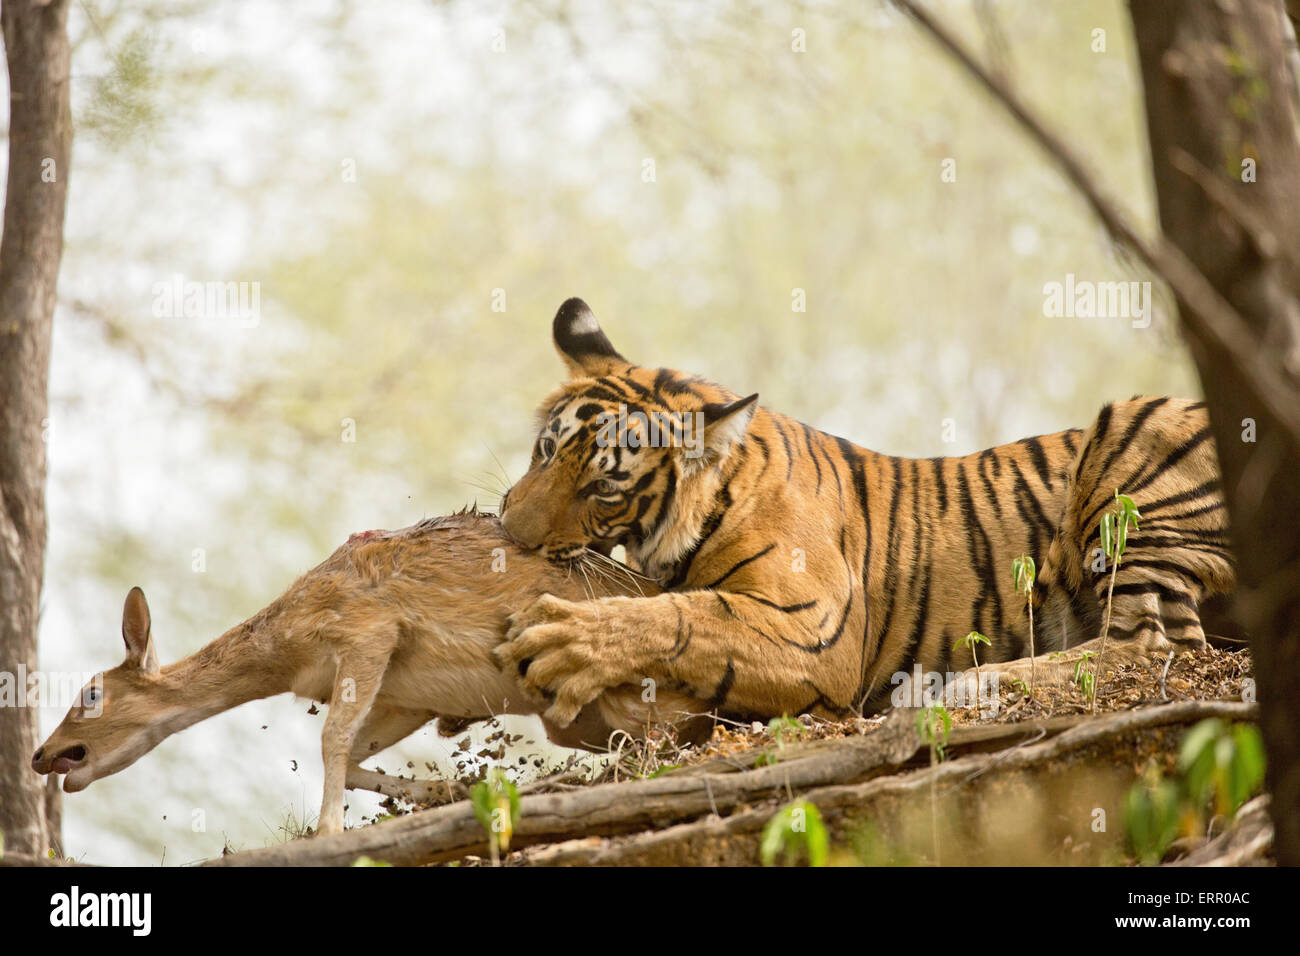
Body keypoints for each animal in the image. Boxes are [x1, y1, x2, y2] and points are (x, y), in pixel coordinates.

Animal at [494, 298, 1236, 728]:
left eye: (603, 489)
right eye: (545, 449)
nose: (509, 536)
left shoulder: (813, 634)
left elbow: (687, 617)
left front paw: (566, 641)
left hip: (1135, 443)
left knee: (1154, 644)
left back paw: (958, 688)